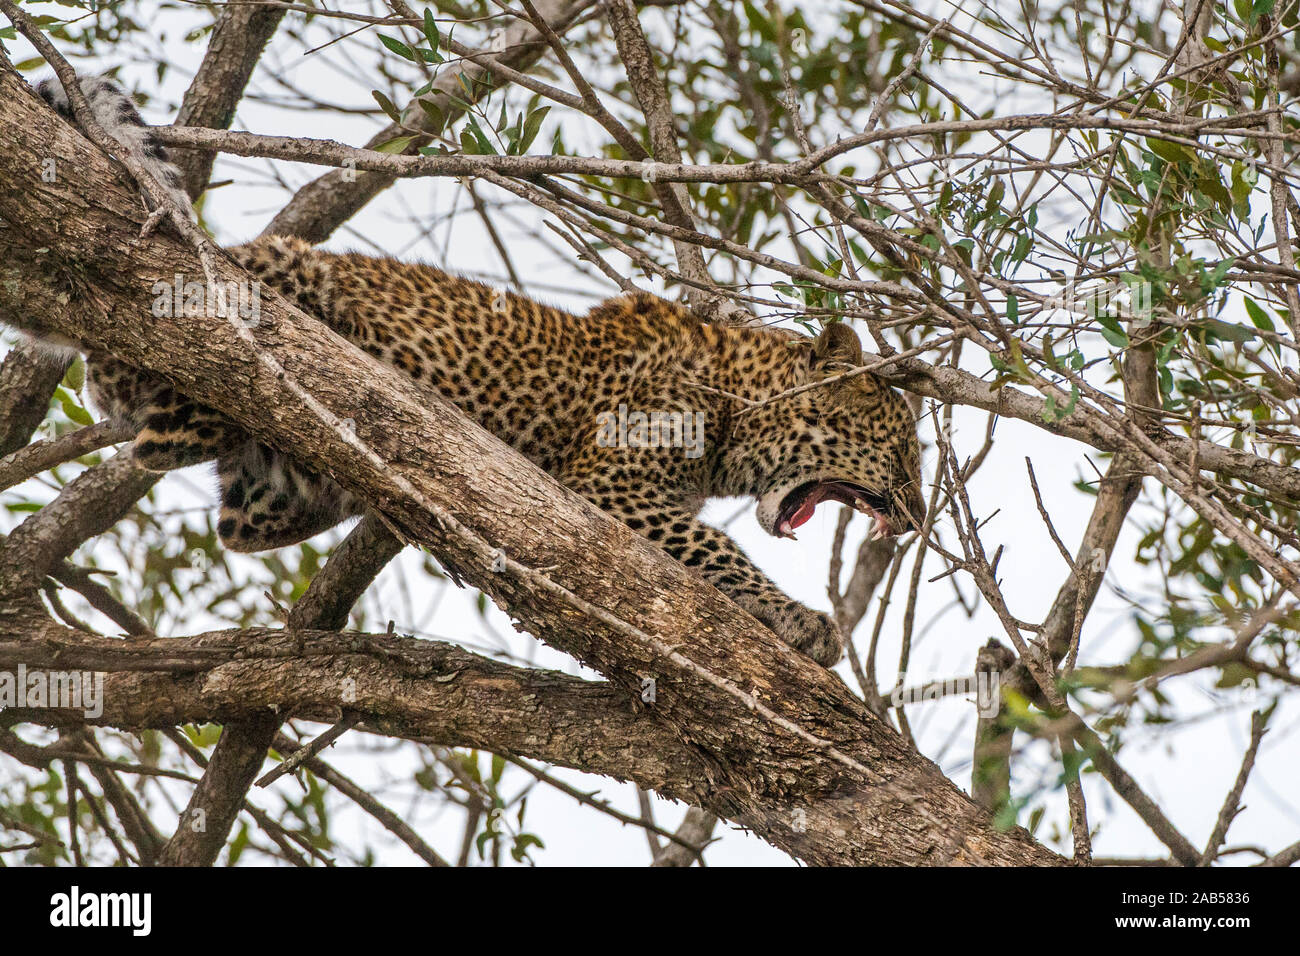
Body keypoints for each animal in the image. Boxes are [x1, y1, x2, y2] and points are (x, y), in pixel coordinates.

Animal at [24, 74, 926, 668]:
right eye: (906, 453)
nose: (916, 520)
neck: (736, 396)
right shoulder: (613, 486)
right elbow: (717, 549)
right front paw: (802, 620)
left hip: (260, 498)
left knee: (206, 488)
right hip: (263, 282)